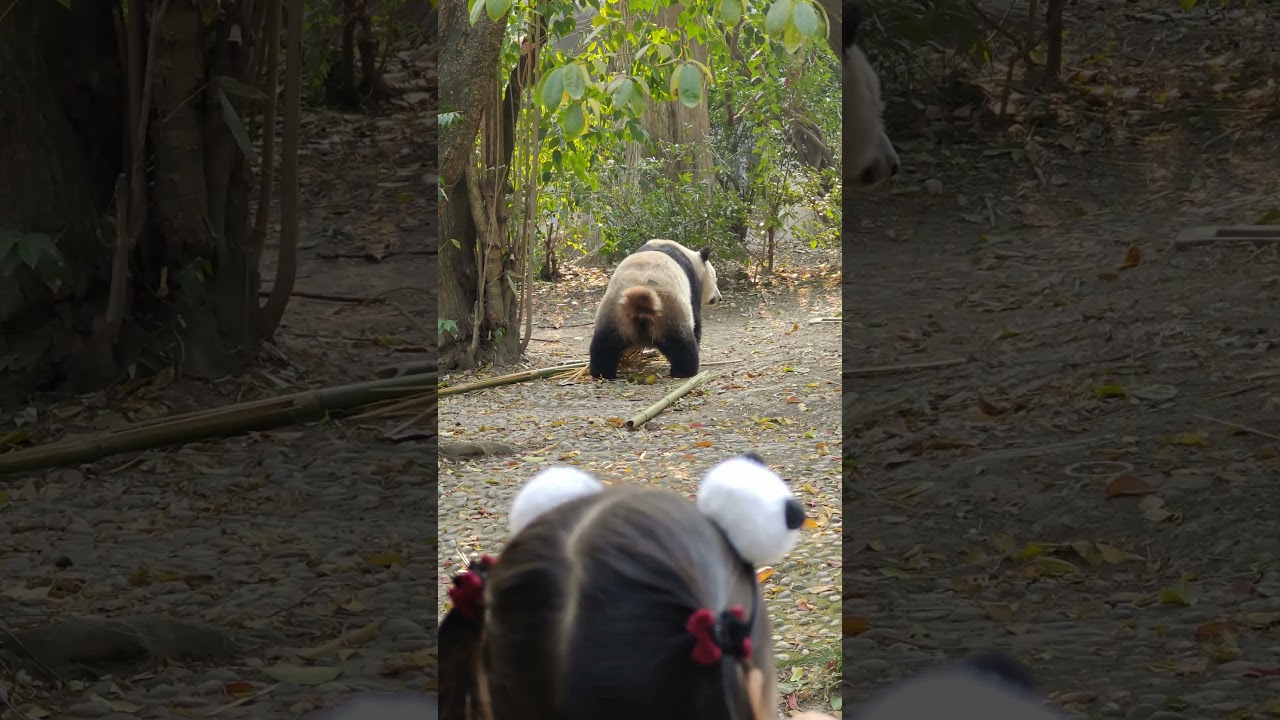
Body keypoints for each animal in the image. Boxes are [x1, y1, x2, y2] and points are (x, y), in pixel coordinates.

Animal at [587, 238, 722, 380]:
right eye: (715, 279)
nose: (719, 297)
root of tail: (641, 299)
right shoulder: (692, 286)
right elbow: (696, 322)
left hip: (614, 313)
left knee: (604, 345)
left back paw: (601, 372)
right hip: (671, 311)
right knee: (682, 344)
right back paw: (685, 371)